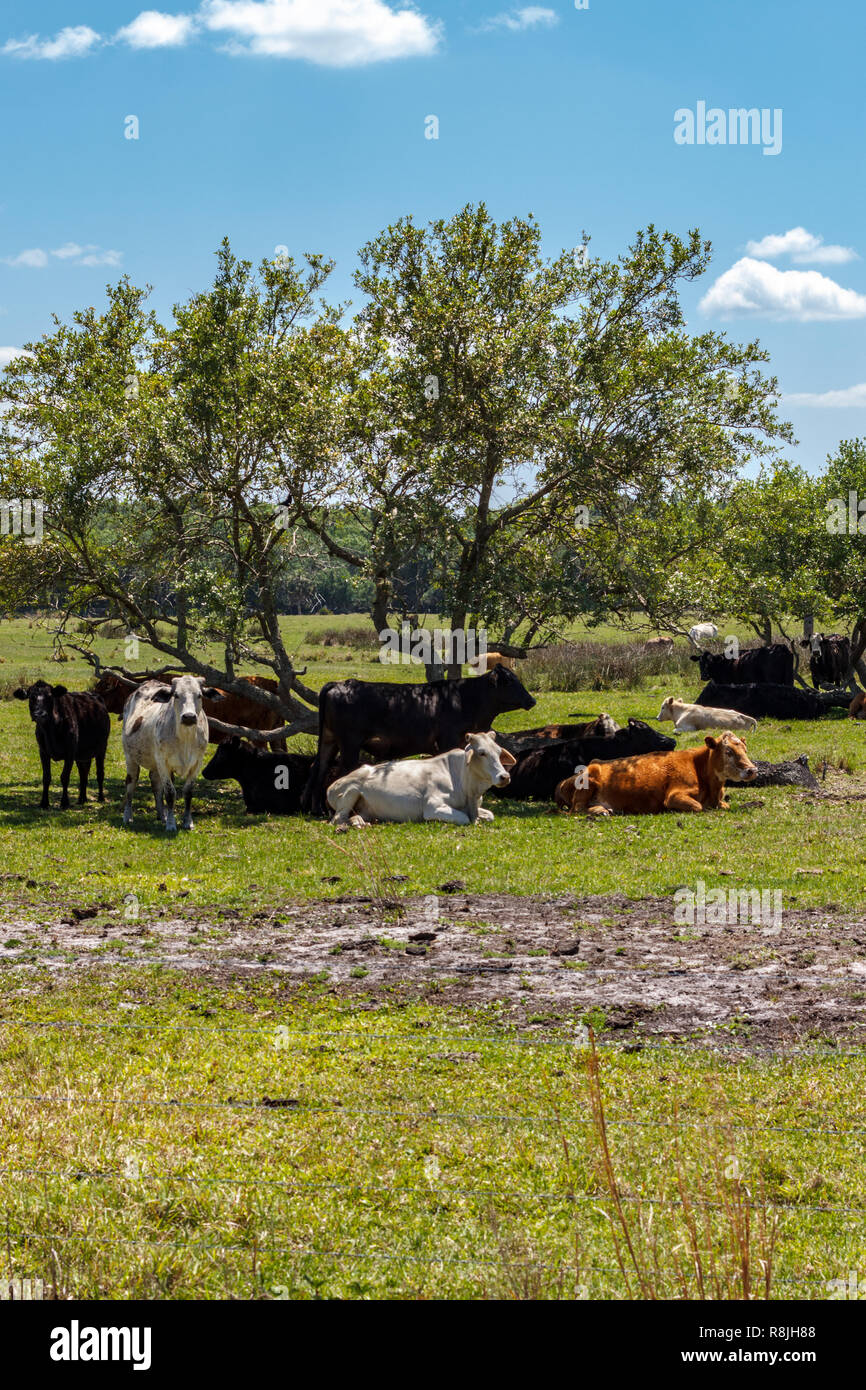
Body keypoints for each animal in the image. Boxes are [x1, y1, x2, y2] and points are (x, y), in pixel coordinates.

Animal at [13, 680, 110, 809]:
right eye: (31, 697)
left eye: (50, 696)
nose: (39, 714)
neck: (50, 731)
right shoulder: (43, 752)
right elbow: (46, 777)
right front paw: (44, 803)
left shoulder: (70, 752)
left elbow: (64, 777)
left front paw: (64, 803)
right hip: (83, 753)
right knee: (83, 774)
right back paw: (82, 798)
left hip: (102, 747)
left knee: (100, 773)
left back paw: (101, 798)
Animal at [121, 675, 222, 831]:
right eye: (176, 695)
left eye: (199, 695)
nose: (189, 716)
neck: (186, 738)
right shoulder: (163, 762)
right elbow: (170, 793)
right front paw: (171, 824)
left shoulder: (197, 763)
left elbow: (188, 791)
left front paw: (187, 821)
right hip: (130, 758)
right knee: (131, 783)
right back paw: (128, 816)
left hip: (155, 763)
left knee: (156, 784)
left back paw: (161, 815)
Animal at [305, 665, 536, 813]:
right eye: (510, 681)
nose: (532, 700)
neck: (465, 699)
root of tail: (339, 683)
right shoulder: (448, 740)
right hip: (349, 744)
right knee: (339, 772)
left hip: (329, 741)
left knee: (319, 767)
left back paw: (315, 809)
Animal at [326, 732, 516, 827]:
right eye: (482, 753)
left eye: (499, 752)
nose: (505, 777)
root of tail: (331, 786)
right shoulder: (434, 807)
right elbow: (464, 818)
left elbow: (490, 815)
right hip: (351, 792)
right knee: (338, 819)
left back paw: (361, 822)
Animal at [554, 733, 757, 816]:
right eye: (728, 752)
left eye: (745, 749)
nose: (752, 770)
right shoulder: (674, 795)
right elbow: (698, 806)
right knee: (576, 809)